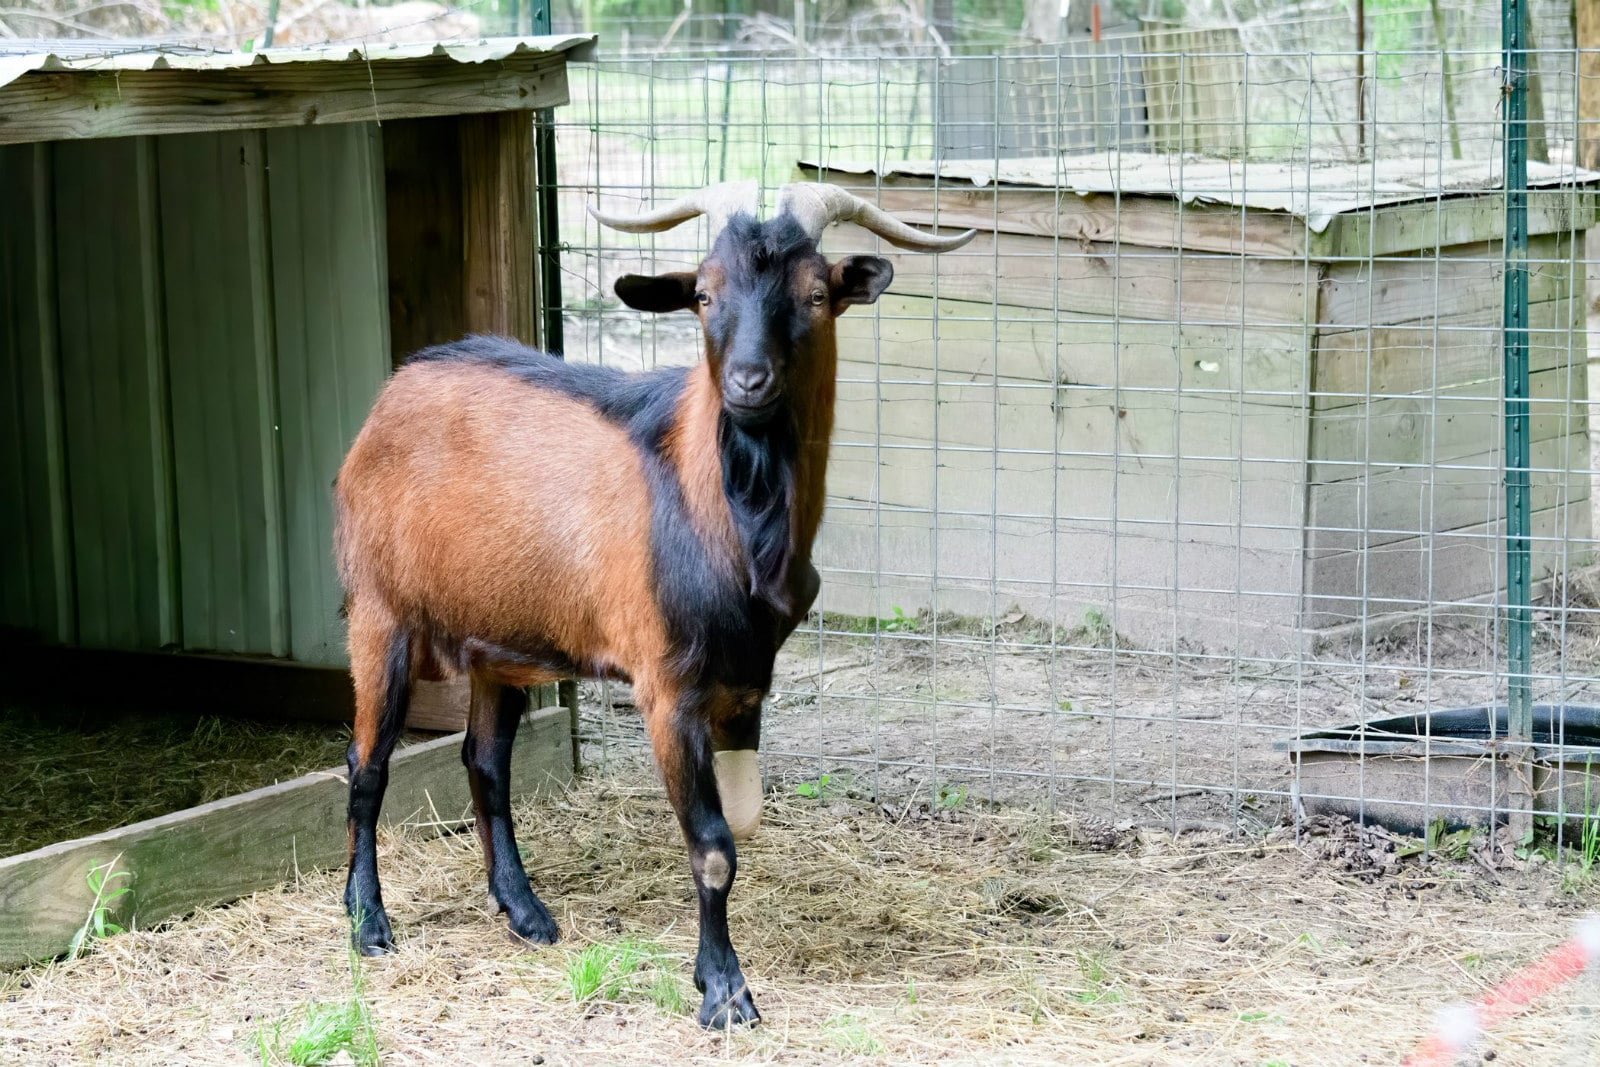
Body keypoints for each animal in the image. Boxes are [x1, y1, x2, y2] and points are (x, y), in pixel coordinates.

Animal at [333, 180, 974, 1028]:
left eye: (815, 294)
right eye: (703, 293)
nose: (747, 382)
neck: (719, 512)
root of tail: (392, 392)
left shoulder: (746, 683)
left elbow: (740, 821)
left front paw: (712, 975)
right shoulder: (667, 687)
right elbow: (711, 844)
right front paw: (727, 993)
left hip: (498, 641)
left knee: (486, 761)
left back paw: (526, 912)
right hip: (381, 614)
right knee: (367, 765)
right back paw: (369, 923)